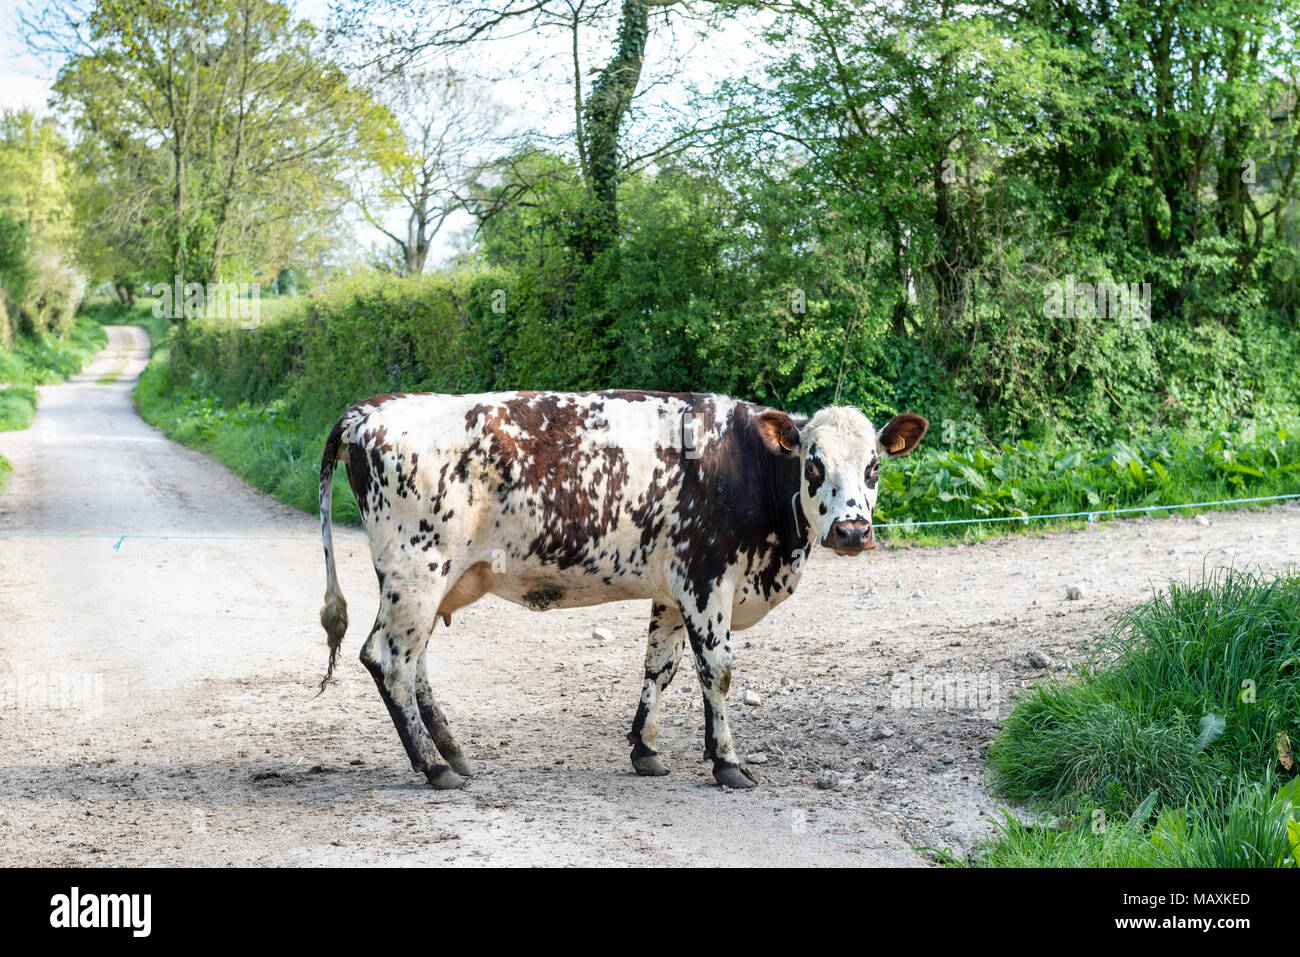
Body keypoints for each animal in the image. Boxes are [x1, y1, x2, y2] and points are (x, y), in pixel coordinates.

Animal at [317, 390, 927, 789]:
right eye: (813, 464)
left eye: (874, 467)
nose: (853, 531)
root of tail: (371, 409)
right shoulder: (707, 580)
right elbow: (718, 672)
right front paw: (727, 762)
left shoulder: (673, 590)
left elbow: (662, 667)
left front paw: (646, 749)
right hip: (417, 570)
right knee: (387, 659)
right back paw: (435, 767)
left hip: (426, 584)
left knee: (413, 662)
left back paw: (453, 753)